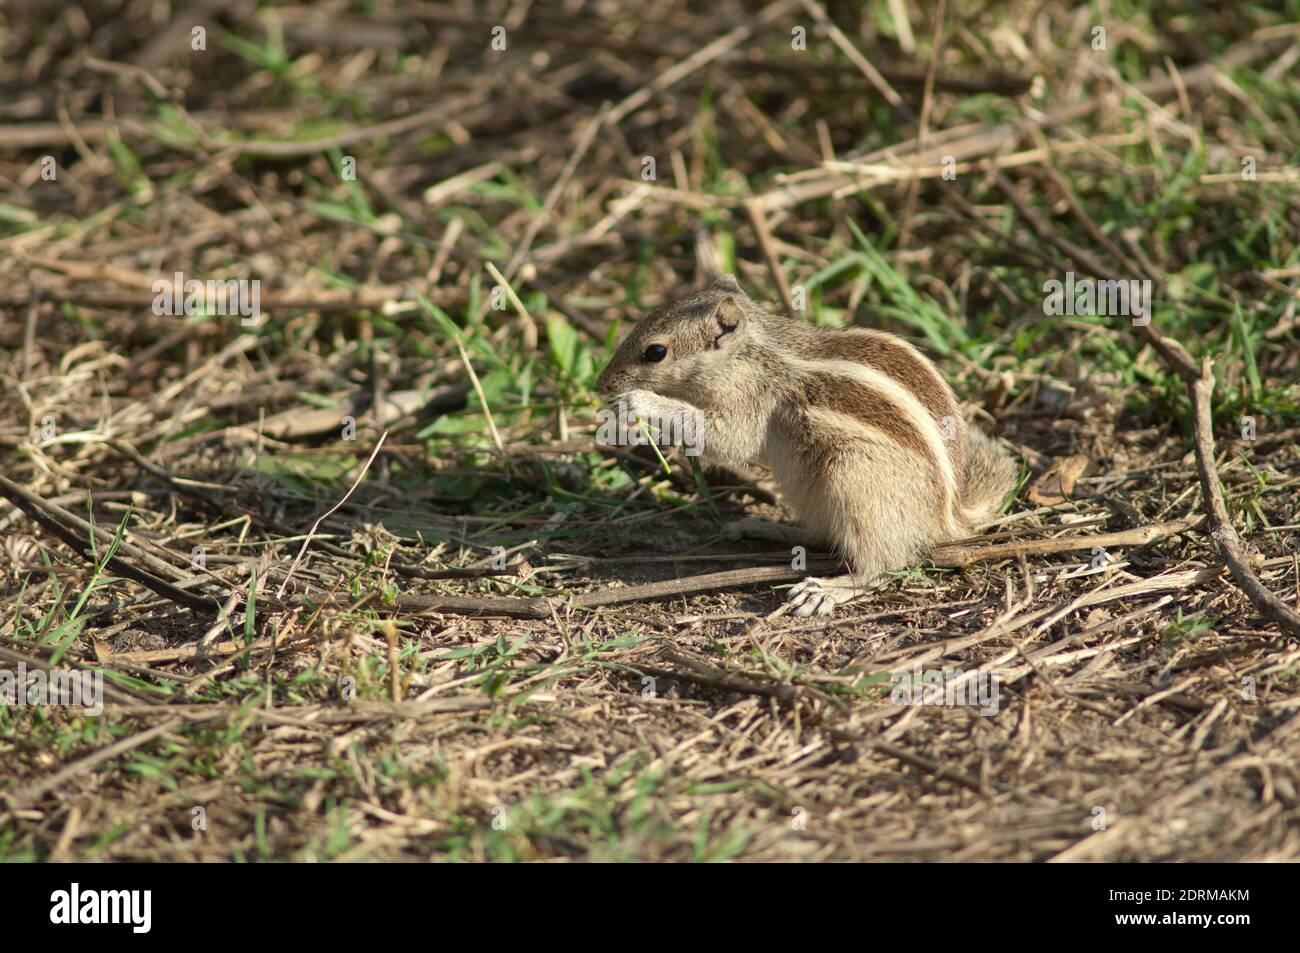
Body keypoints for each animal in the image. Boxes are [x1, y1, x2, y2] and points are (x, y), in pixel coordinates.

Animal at [596, 274, 1019, 617]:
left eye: (655, 352)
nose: (602, 384)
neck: (748, 354)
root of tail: (948, 520)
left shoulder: (748, 402)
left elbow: (728, 439)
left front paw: (640, 403)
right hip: (805, 485)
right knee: (819, 535)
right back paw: (766, 527)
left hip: (856, 477)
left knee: (882, 565)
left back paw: (826, 591)